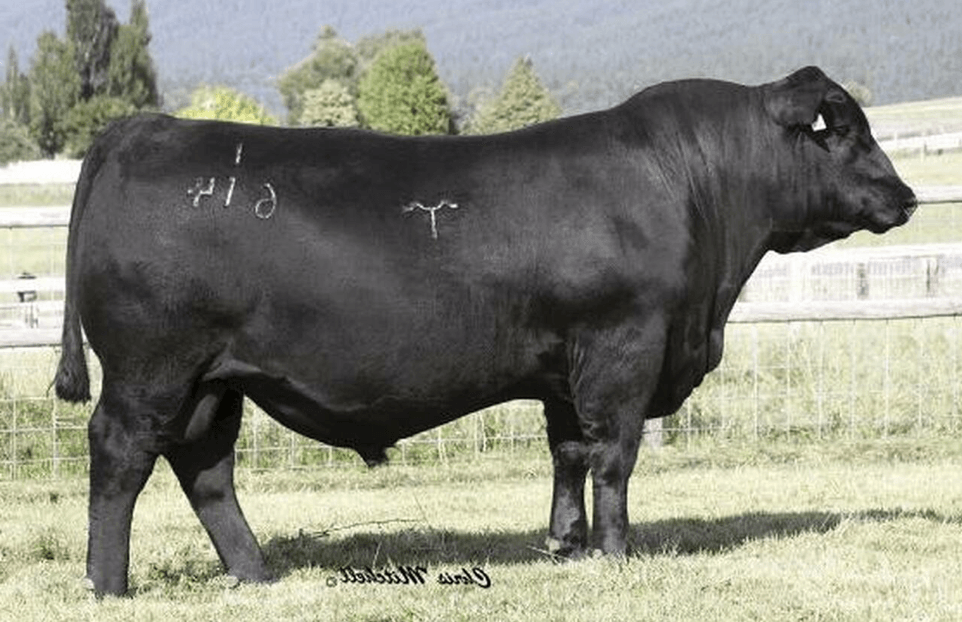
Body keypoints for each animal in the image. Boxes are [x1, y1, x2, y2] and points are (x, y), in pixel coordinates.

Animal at [54, 66, 915, 596]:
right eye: (841, 131)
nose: (905, 197)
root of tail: (147, 128)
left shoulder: (567, 366)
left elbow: (568, 452)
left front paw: (564, 544)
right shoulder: (623, 346)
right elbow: (614, 454)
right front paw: (614, 551)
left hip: (213, 380)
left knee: (205, 466)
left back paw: (255, 574)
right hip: (151, 367)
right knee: (122, 454)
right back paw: (108, 583)